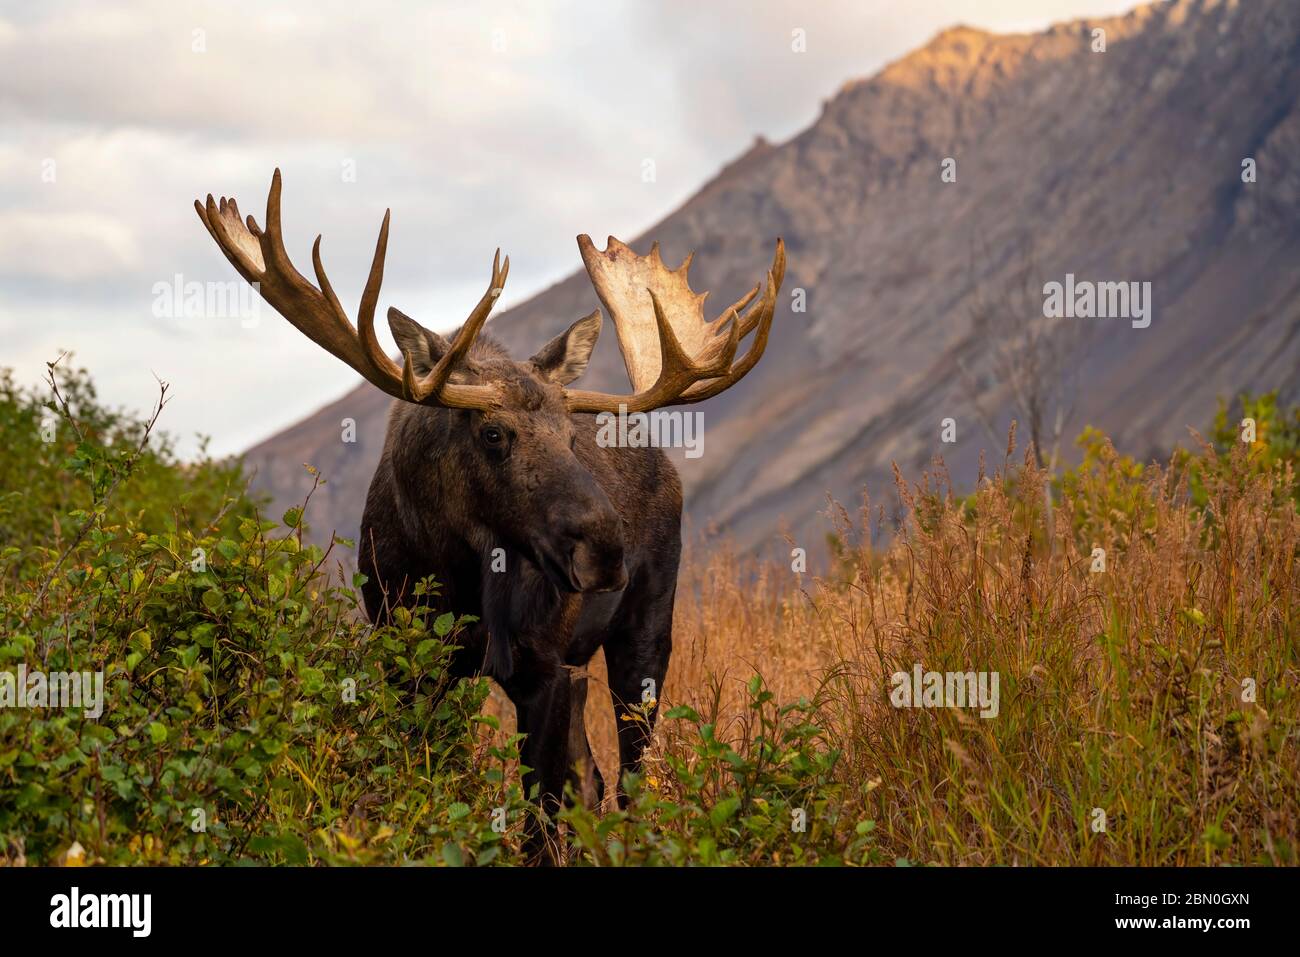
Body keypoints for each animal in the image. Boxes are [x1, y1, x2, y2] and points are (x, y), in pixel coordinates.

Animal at [195, 170, 785, 861]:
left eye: (571, 434)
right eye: (494, 433)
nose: (607, 550)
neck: (458, 569)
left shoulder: (543, 669)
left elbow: (540, 820)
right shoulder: (408, 659)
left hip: (645, 629)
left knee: (630, 780)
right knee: (596, 778)